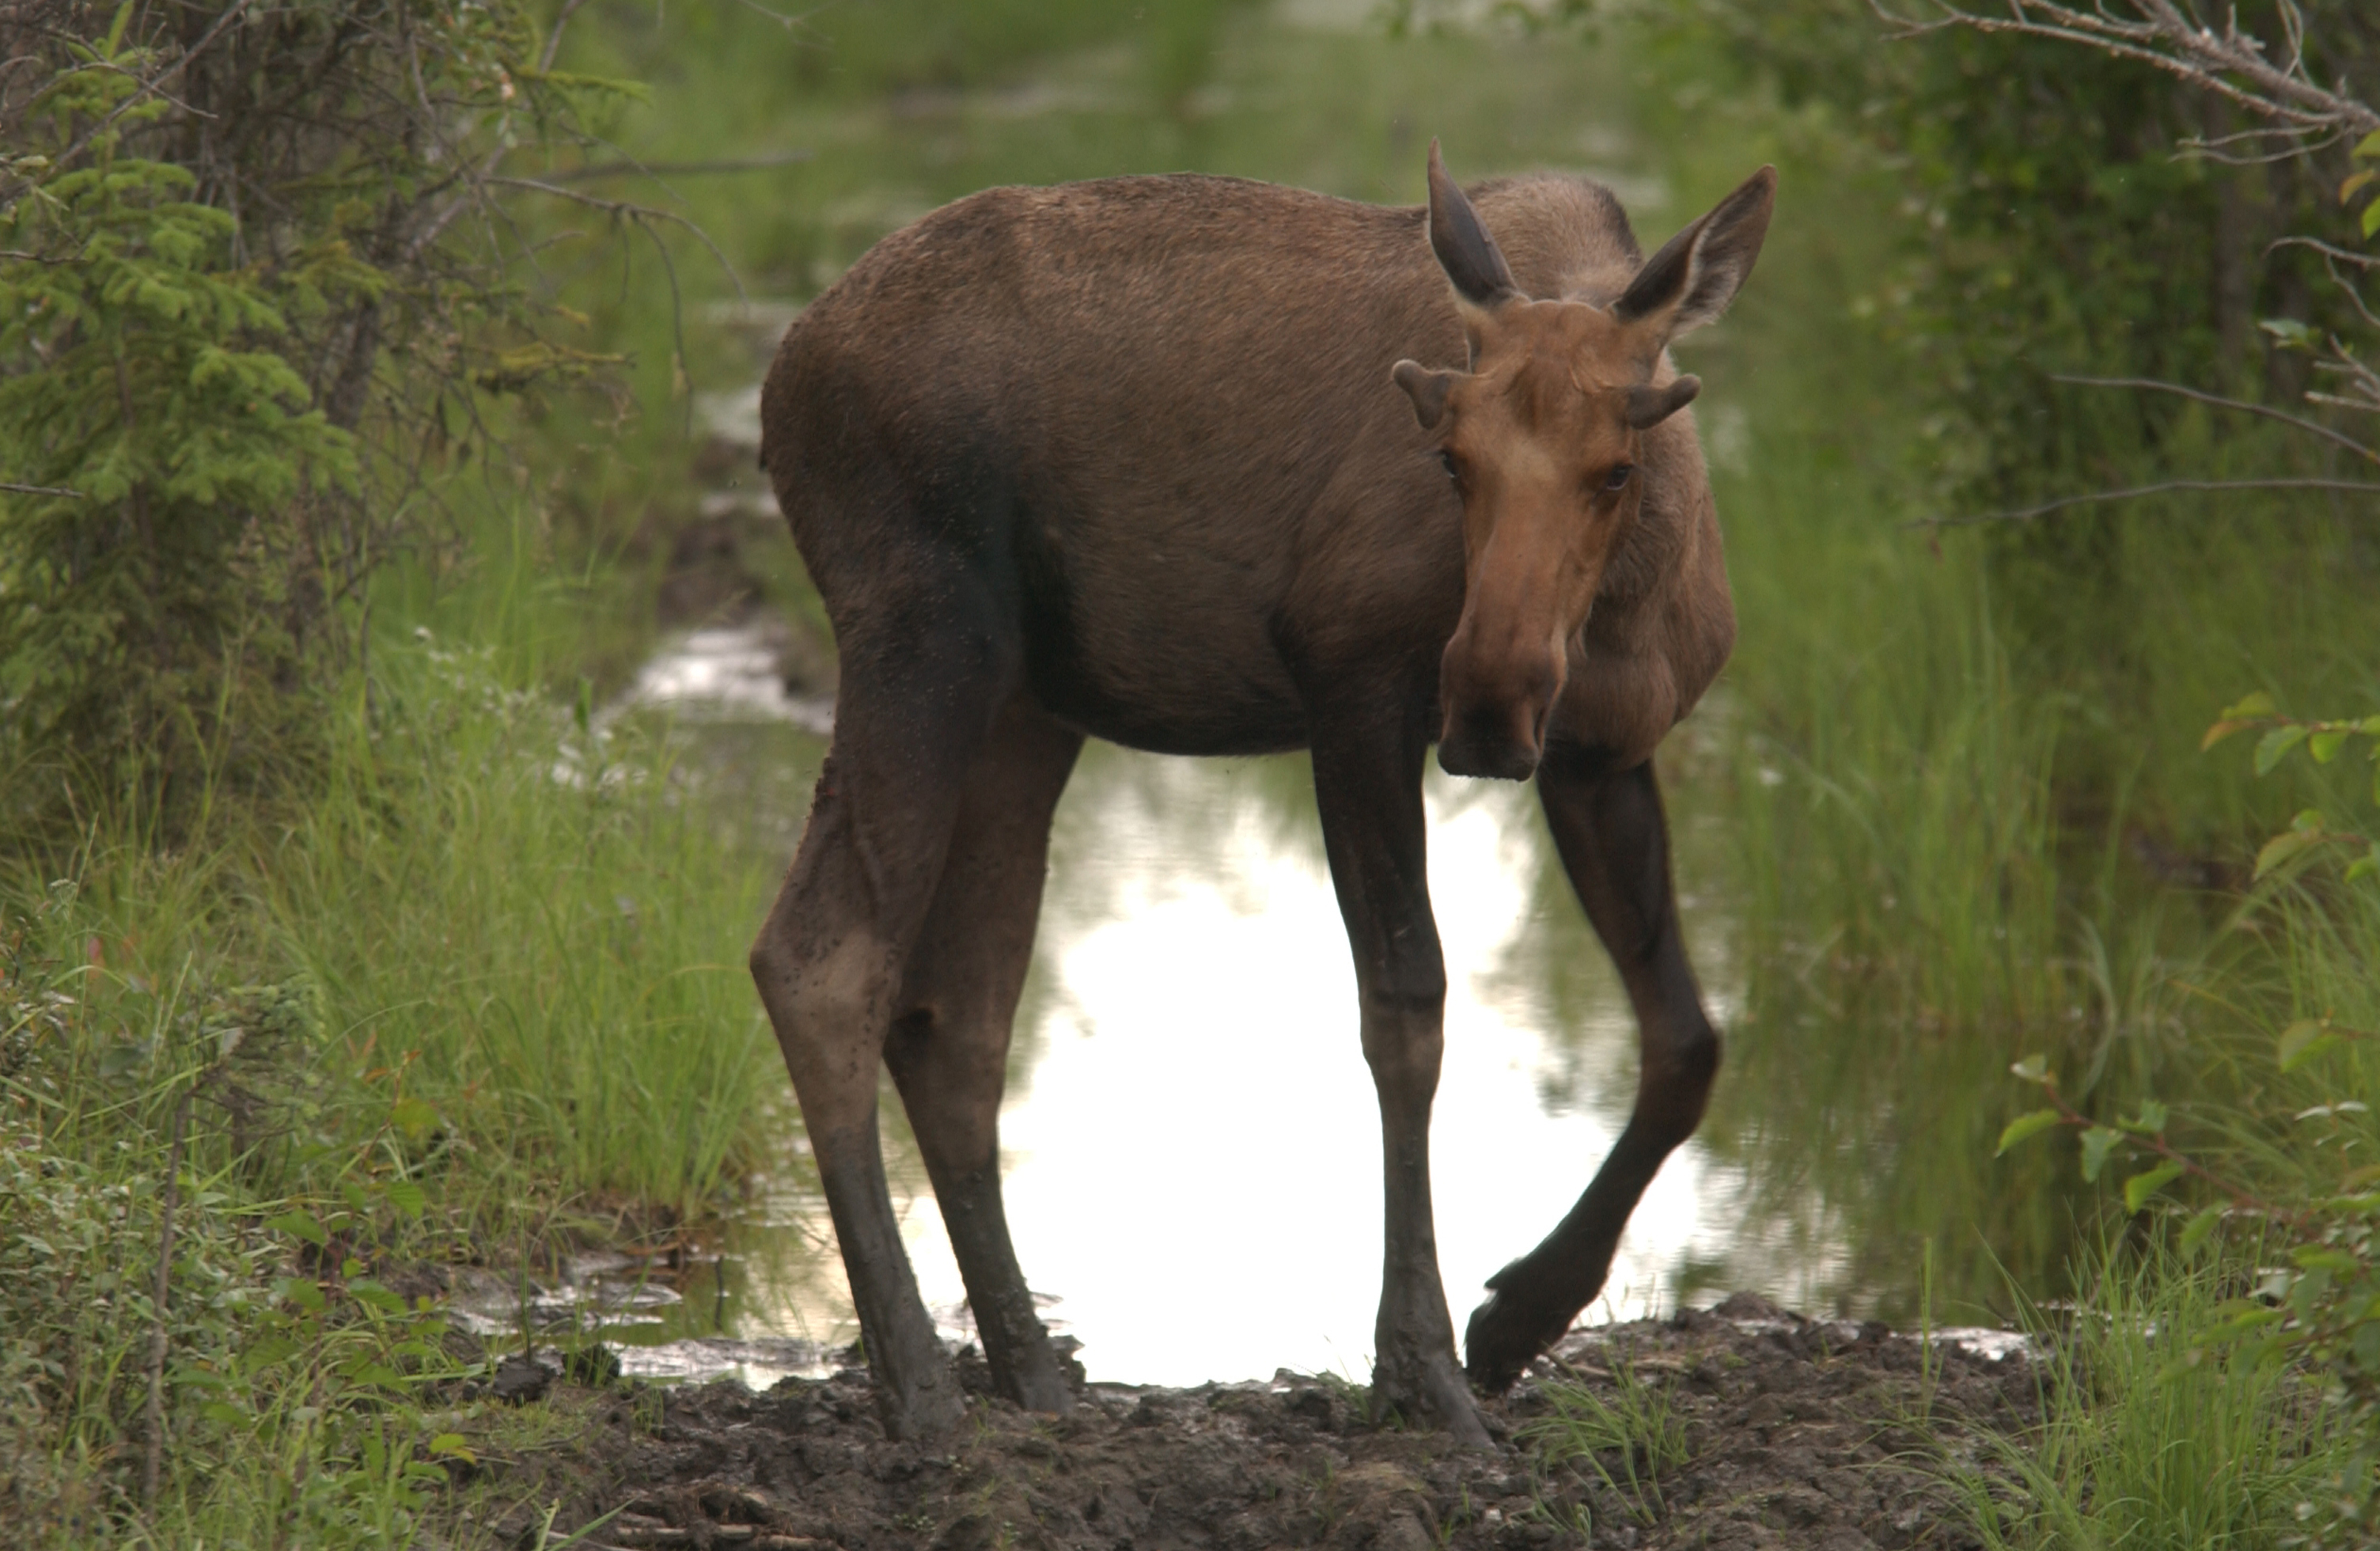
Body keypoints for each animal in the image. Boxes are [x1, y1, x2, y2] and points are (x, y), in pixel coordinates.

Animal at [749, 143, 1775, 1445]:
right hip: (923, 635)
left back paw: (1032, 1368)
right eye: (1451, 457)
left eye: (1615, 467)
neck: (1627, 606)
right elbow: (1406, 1012)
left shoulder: (1600, 755)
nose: (1486, 699)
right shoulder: (1352, 685)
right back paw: (921, 1387)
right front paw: (1422, 1366)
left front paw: (1521, 1317)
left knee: (955, 1012)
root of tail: (781, 380)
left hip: (1027, 706)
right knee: (822, 961)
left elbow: (1685, 1036)